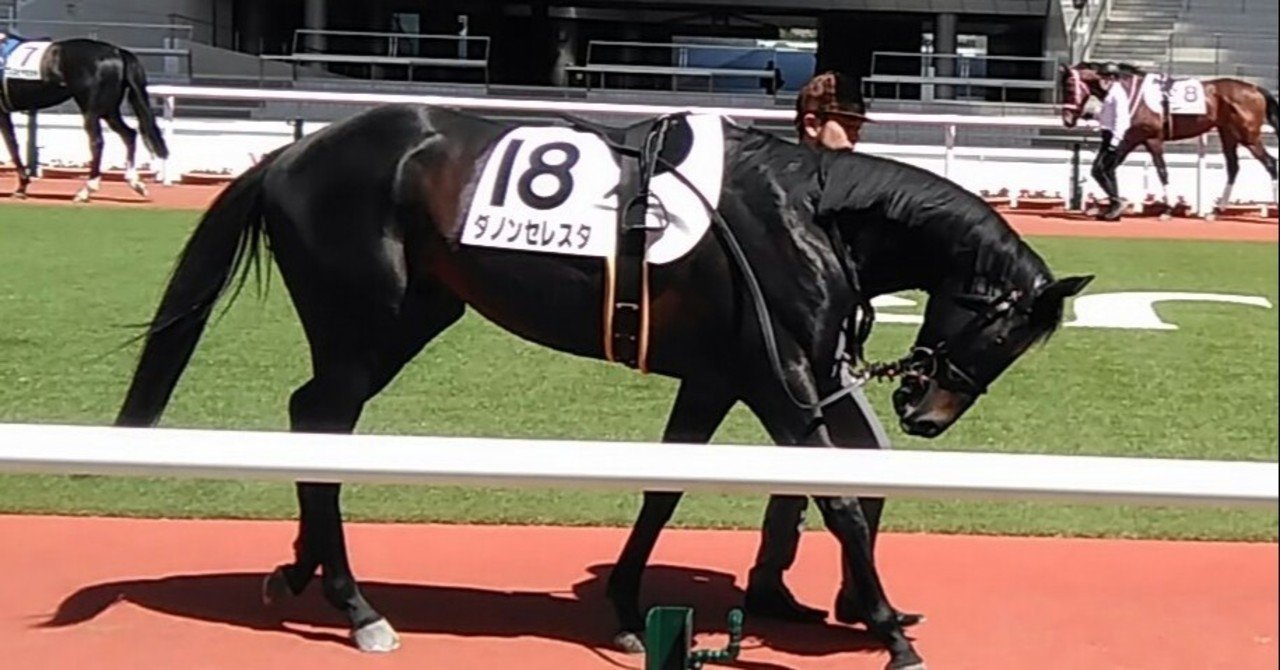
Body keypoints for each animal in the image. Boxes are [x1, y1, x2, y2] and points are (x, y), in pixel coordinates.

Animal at [0, 33, 169, 201]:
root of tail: (117, 52)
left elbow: (11, 146)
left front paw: (22, 186)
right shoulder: (4, 112)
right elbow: (12, 144)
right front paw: (22, 187)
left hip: (92, 110)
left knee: (97, 142)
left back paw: (87, 189)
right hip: (109, 110)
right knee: (129, 134)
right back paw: (136, 183)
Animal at [112, 102, 1091, 670]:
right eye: (1002, 331)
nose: (924, 411)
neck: (809, 212)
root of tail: (290, 156)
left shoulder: (718, 378)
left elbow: (666, 489)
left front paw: (626, 609)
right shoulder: (779, 383)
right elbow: (844, 502)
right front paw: (889, 629)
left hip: (418, 314)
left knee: (313, 419)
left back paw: (304, 571)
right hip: (368, 322)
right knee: (322, 421)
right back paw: (356, 607)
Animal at [1060, 61, 1278, 219]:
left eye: (1069, 87)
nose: (1067, 119)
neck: (1130, 93)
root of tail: (1255, 88)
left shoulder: (1146, 138)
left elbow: (1161, 171)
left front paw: (1166, 210)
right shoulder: (1133, 139)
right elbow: (1107, 168)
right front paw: (1113, 207)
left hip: (1248, 136)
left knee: (1270, 163)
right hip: (1229, 134)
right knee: (1233, 167)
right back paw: (1216, 211)